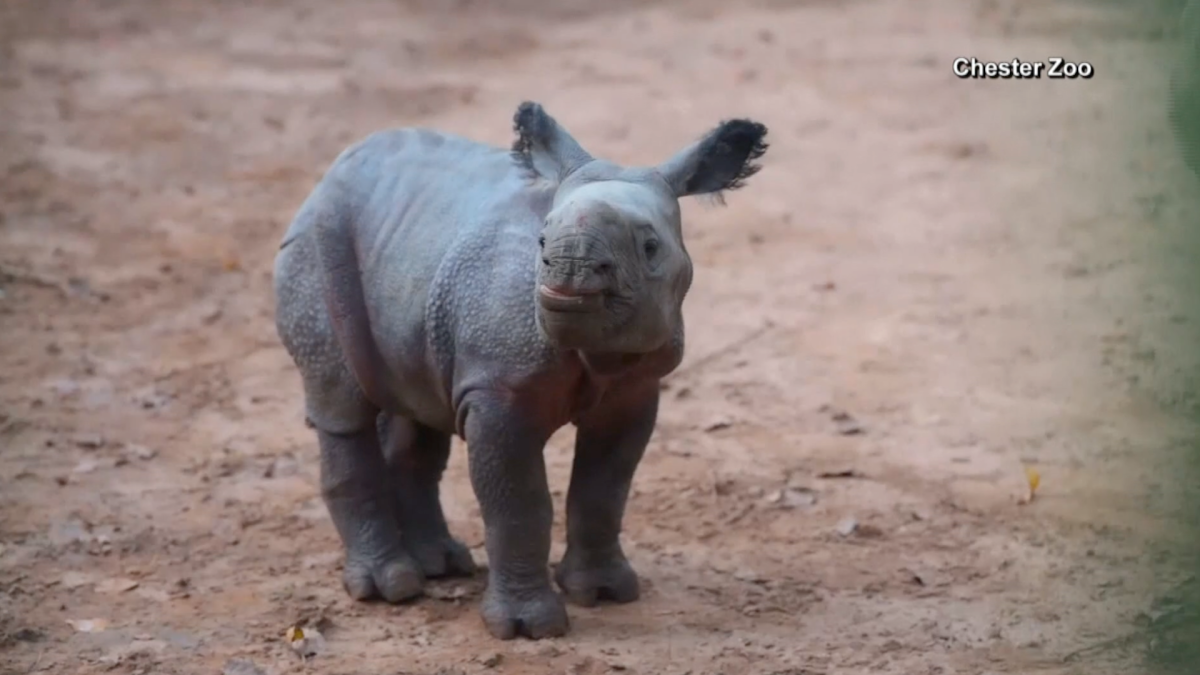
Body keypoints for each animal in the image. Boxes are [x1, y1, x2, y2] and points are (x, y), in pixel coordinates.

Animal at [273, 101, 769, 639]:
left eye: (650, 246)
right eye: (542, 239)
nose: (568, 264)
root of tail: (330, 174)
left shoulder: (635, 388)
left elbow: (604, 488)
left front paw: (605, 593)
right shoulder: (498, 391)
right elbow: (519, 505)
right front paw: (528, 628)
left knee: (417, 409)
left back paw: (441, 566)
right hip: (320, 242)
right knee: (341, 406)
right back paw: (390, 590)